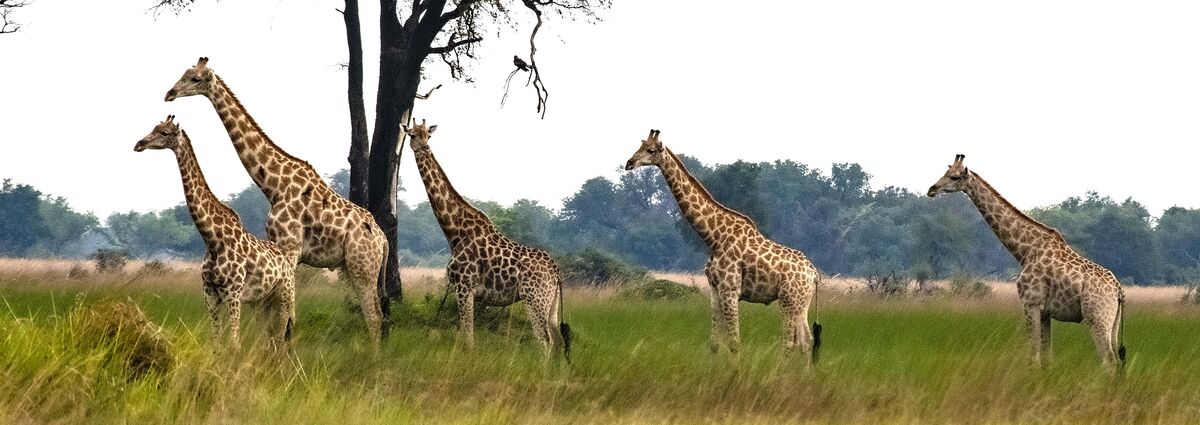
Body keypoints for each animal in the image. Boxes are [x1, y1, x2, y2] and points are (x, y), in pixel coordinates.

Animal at [134, 115, 297, 346]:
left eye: (164, 132)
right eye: (153, 128)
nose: (139, 144)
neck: (212, 239)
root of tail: (288, 260)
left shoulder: (233, 293)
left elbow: (235, 343)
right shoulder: (209, 294)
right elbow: (216, 342)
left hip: (284, 297)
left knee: (282, 338)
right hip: (262, 301)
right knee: (269, 339)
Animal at [164, 57, 387, 350]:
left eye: (196, 79)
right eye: (184, 73)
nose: (170, 94)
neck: (273, 186)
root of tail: (383, 240)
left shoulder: (290, 248)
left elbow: (288, 313)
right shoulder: (280, 249)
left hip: (363, 266)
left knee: (373, 314)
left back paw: (374, 356)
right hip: (355, 268)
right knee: (378, 311)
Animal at [402, 120, 570, 356]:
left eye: (428, 135)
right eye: (413, 135)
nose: (424, 148)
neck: (455, 231)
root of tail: (556, 271)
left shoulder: (464, 286)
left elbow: (468, 336)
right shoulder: (468, 291)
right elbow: (467, 333)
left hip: (535, 298)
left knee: (544, 341)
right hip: (551, 303)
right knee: (558, 341)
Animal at [624, 129, 822, 361]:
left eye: (651, 150)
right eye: (640, 146)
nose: (629, 163)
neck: (714, 237)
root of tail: (813, 273)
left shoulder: (730, 290)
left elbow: (735, 343)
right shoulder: (714, 289)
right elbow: (714, 344)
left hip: (788, 300)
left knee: (789, 344)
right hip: (802, 302)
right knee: (806, 341)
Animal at [927, 154, 1126, 367]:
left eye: (954, 177)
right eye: (946, 172)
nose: (932, 190)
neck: (1025, 250)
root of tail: (1119, 291)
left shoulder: (1030, 303)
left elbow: (1034, 357)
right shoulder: (1046, 313)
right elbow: (1047, 357)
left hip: (1097, 317)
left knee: (1108, 361)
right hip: (1113, 322)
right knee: (1116, 361)